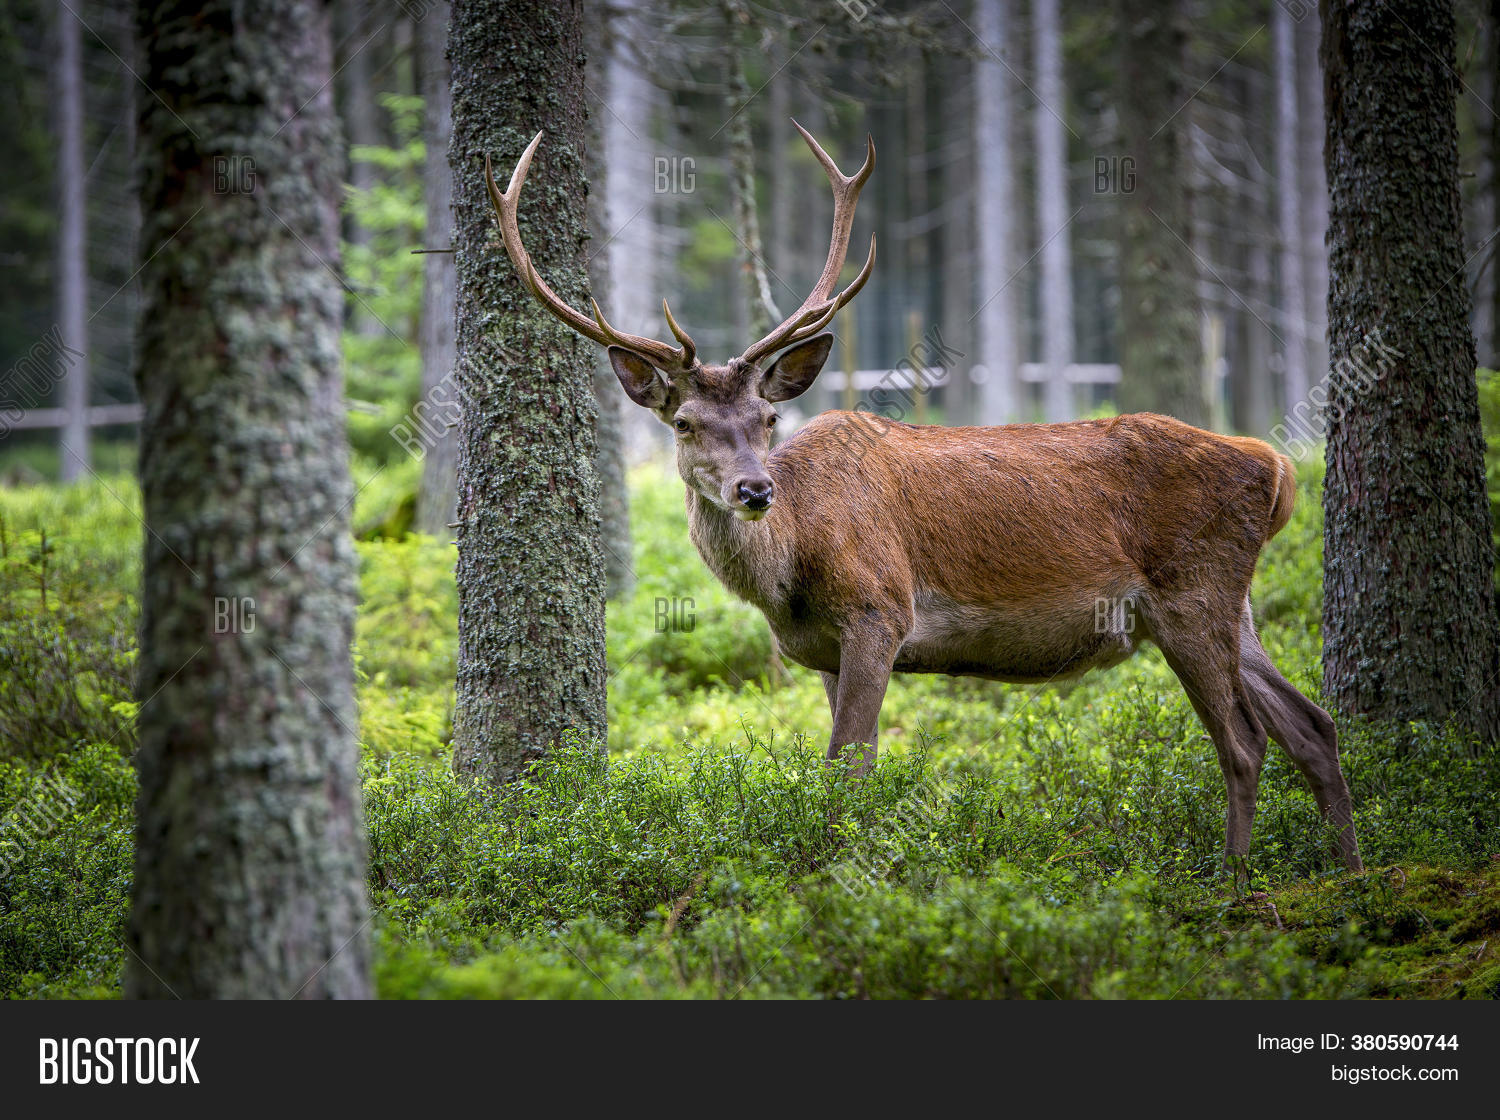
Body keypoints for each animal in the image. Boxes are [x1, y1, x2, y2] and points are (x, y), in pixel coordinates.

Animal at [484, 124, 1363, 876]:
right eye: (686, 423)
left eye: (768, 418)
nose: (755, 488)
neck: (789, 576)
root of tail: (1274, 468)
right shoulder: (823, 651)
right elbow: (855, 765)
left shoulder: (880, 608)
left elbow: (844, 769)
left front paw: (834, 879)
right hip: (1232, 604)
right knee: (1313, 726)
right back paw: (1348, 874)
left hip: (1192, 591)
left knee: (1244, 743)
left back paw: (1234, 879)